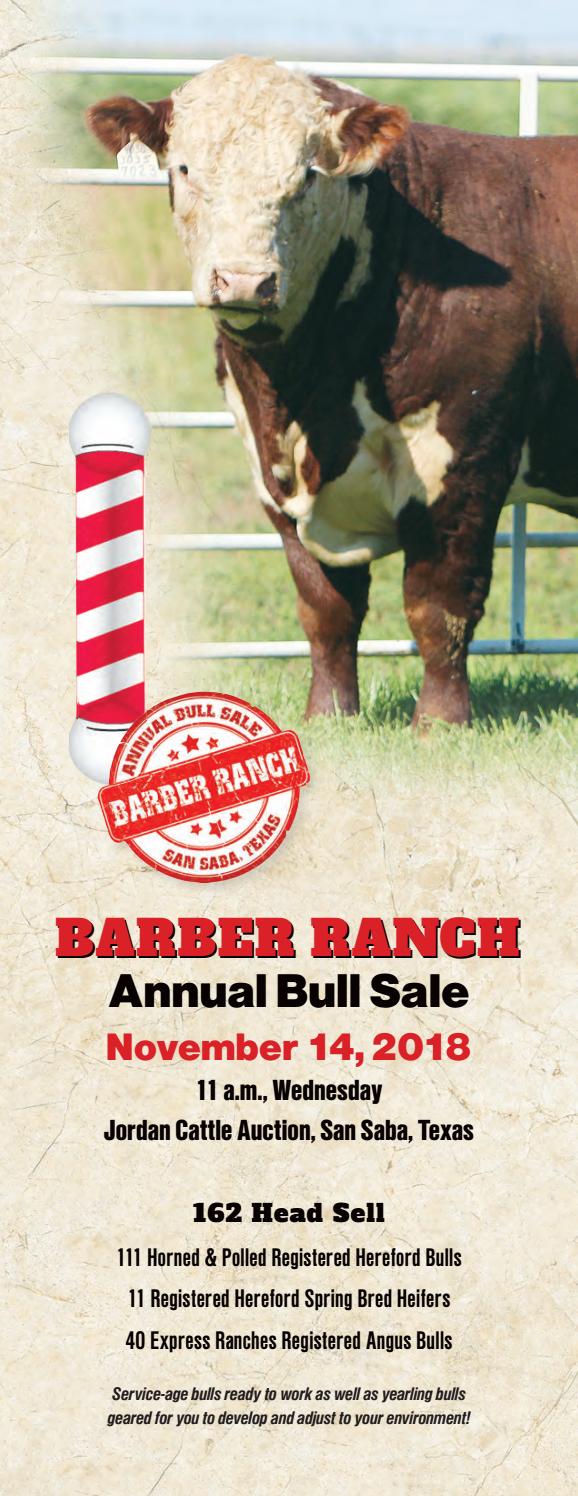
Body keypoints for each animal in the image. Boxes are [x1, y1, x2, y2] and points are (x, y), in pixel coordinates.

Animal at [87, 55, 578, 727]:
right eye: (184, 168)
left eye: (307, 175)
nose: (244, 280)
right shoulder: (269, 471)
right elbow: (325, 608)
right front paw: (328, 716)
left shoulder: (465, 457)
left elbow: (440, 606)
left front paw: (439, 725)